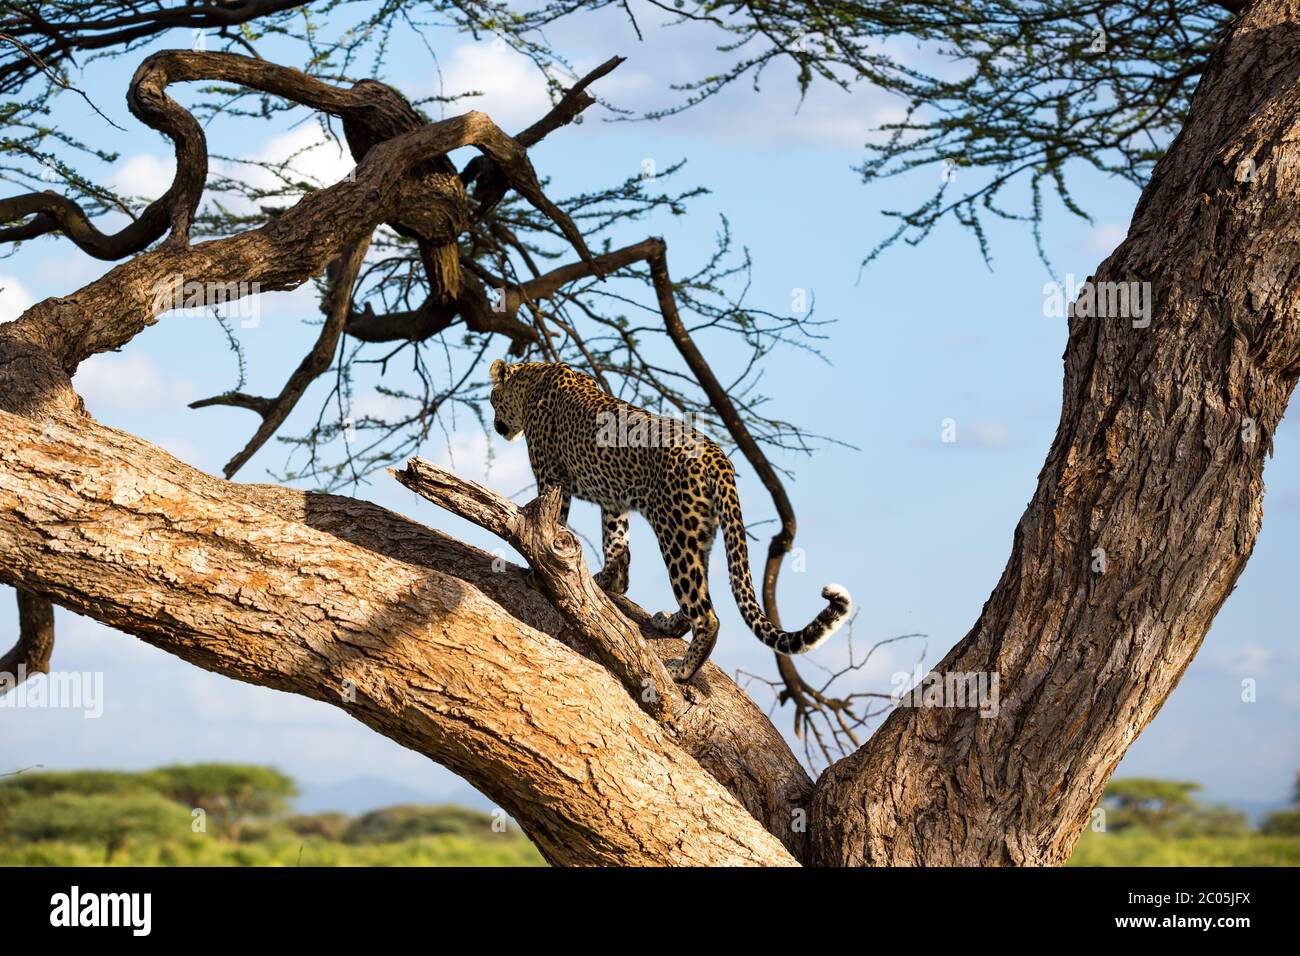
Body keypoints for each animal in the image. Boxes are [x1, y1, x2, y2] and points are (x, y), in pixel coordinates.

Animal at [489, 358, 851, 682]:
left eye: (492, 399)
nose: (495, 425)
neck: (533, 378)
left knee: (706, 614)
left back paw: (683, 670)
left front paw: (542, 572)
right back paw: (670, 623)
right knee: (698, 598)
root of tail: (717, 456)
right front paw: (608, 582)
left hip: (674, 531)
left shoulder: (552, 478)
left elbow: (556, 525)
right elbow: (617, 545)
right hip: (698, 532)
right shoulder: (614, 500)